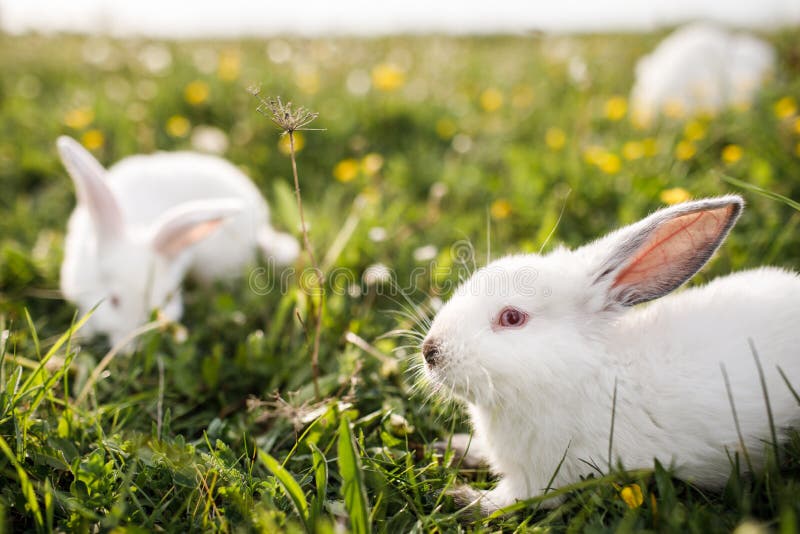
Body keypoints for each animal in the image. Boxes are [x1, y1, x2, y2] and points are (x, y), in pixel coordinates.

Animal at [421, 195, 800, 514]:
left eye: (512, 318)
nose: (430, 351)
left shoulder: (540, 479)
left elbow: (507, 501)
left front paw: (459, 497)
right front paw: (451, 448)